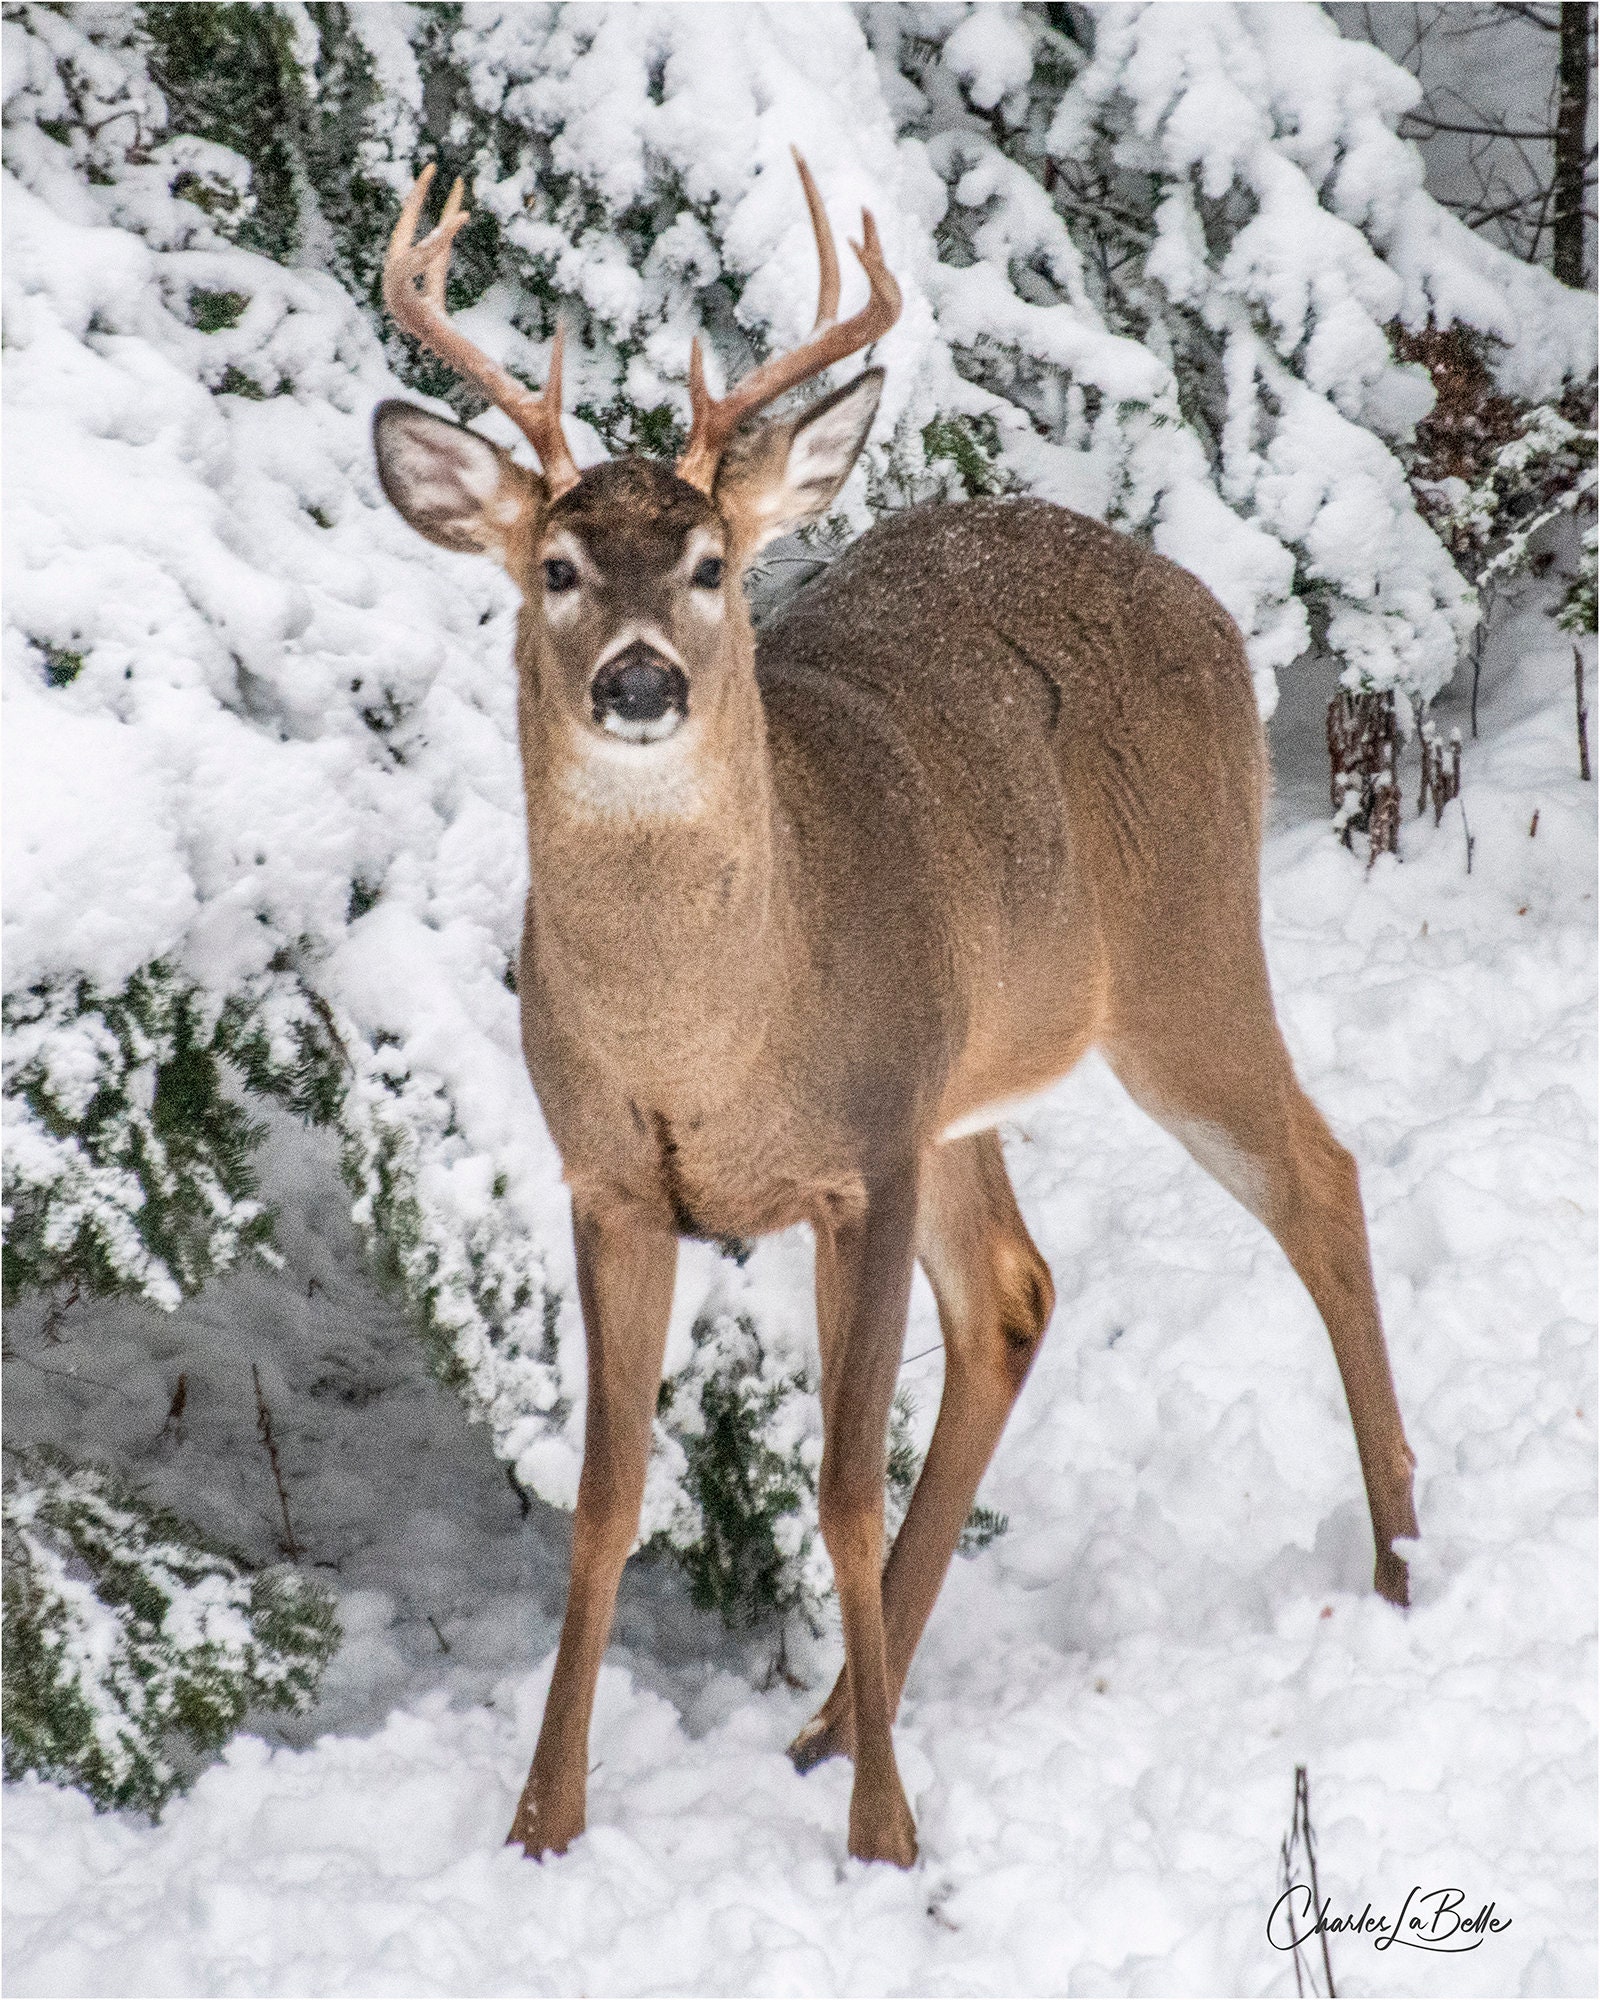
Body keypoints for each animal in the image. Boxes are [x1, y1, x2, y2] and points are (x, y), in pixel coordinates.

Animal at [371, 155, 1419, 1871]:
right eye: (556, 570)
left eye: (713, 566)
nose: (643, 682)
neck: (705, 1044)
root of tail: (1197, 596)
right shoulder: (610, 1181)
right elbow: (606, 1497)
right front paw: (542, 1824)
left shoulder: (857, 1156)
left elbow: (842, 1489)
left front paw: (886, 1838)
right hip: (962, 1078)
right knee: (1014, 1292)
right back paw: (826, 1724)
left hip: (1183, 954)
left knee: (1319, 1179)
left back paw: (1401, 1564)